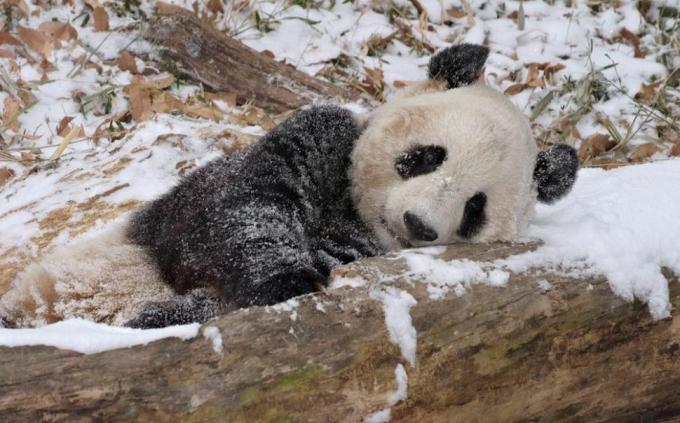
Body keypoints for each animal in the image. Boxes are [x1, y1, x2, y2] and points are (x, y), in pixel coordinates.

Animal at [0, 43, 580, 330]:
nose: (418, 225)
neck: (354, 213)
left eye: (474, 209)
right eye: (423, 157)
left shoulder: (362, 249)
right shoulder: (315, 141)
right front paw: (284, 279)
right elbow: (237, 209)